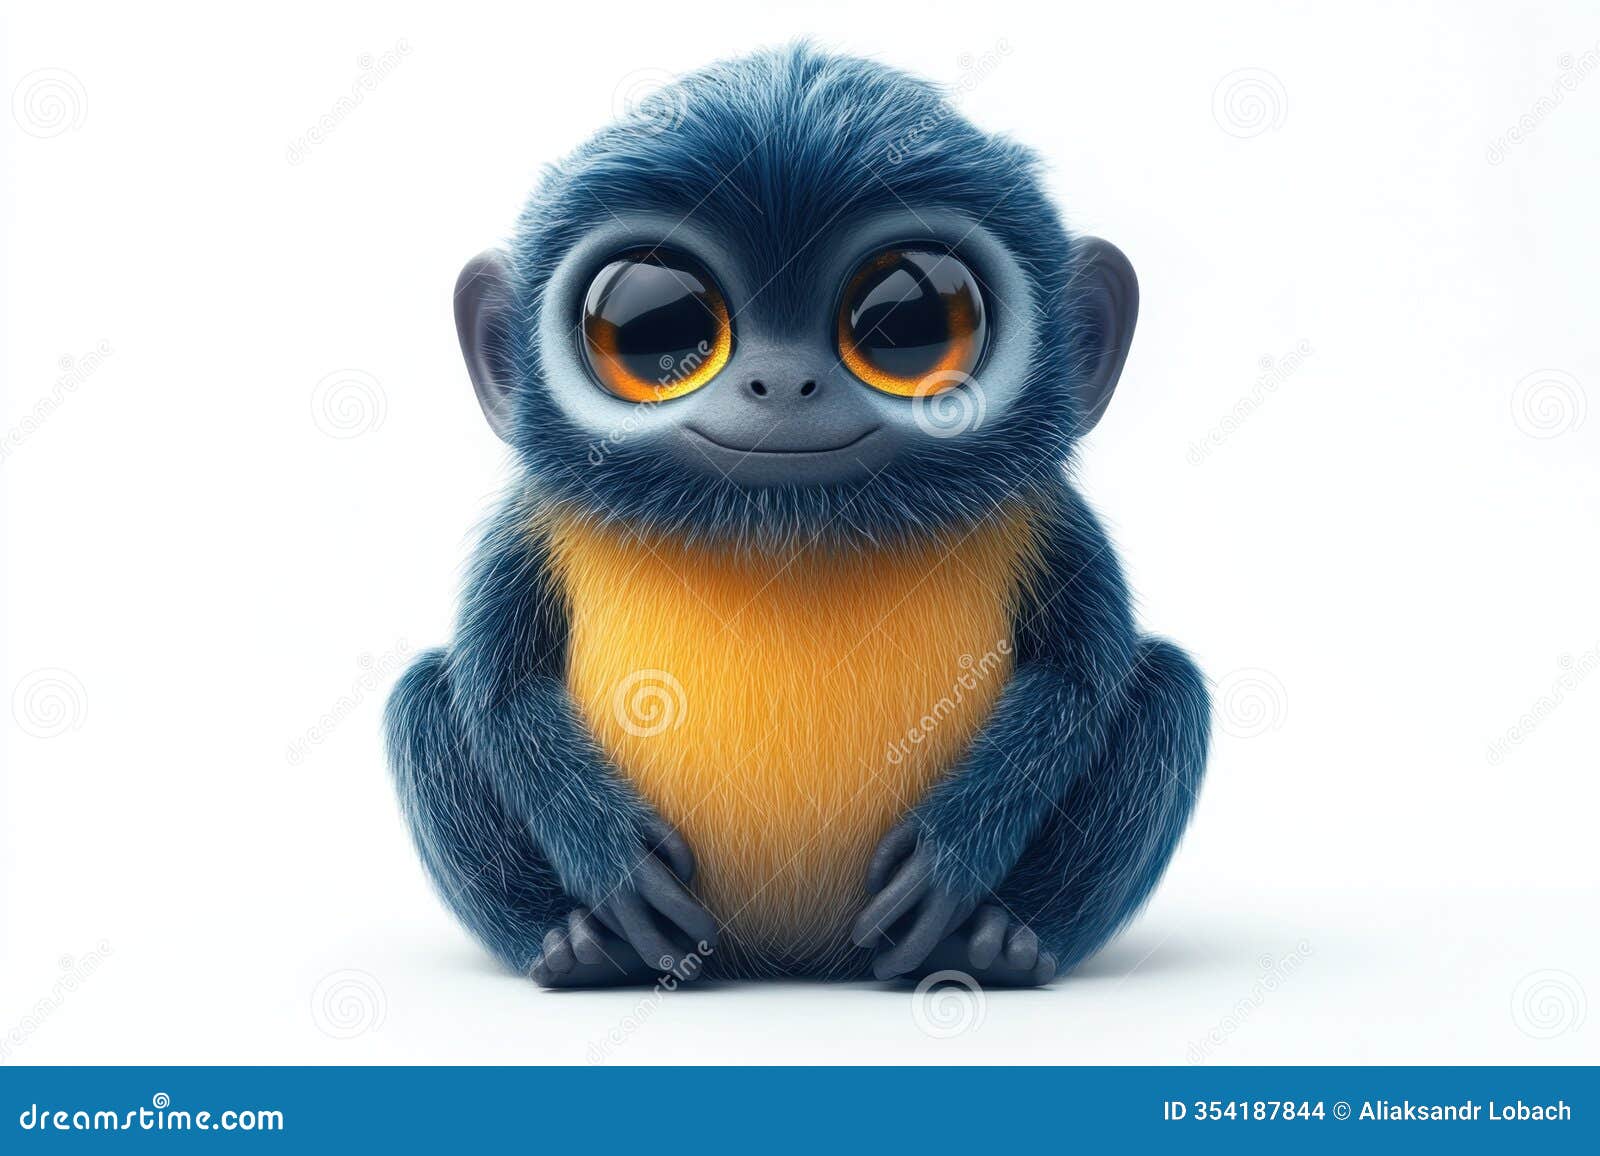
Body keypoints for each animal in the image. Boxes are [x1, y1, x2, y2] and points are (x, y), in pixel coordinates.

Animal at [385, 44, 1210, 988]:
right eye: (655, 321)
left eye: (909, 319)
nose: (782, 381)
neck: (789, 529)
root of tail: (790, 959)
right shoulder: (535, 523)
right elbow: (498, 691)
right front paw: (617, 860)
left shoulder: (1046, 517)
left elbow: (1078, 678)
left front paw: (951, 852)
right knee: (423, 700)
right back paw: (581, 947)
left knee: (1167, 693)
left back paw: (999, 942)